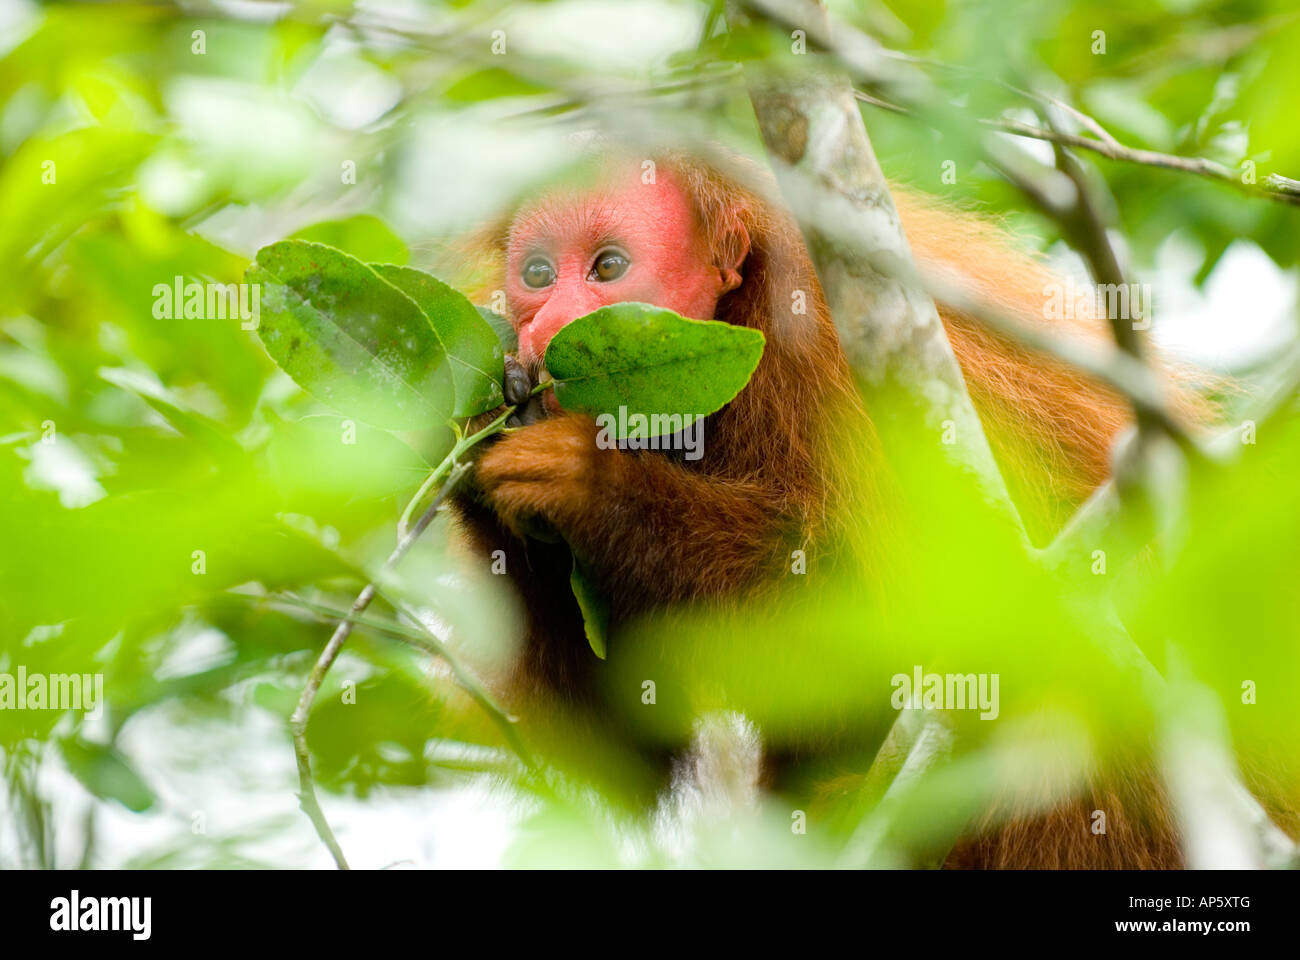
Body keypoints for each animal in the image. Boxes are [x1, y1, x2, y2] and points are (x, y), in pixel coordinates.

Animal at [446, 146, 1287, 868]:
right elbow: (630, 749)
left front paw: (590, 480)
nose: (546, 325)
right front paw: (477, 436)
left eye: (608, 267)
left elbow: (913, 618)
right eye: (538, 273)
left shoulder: (832, 366)